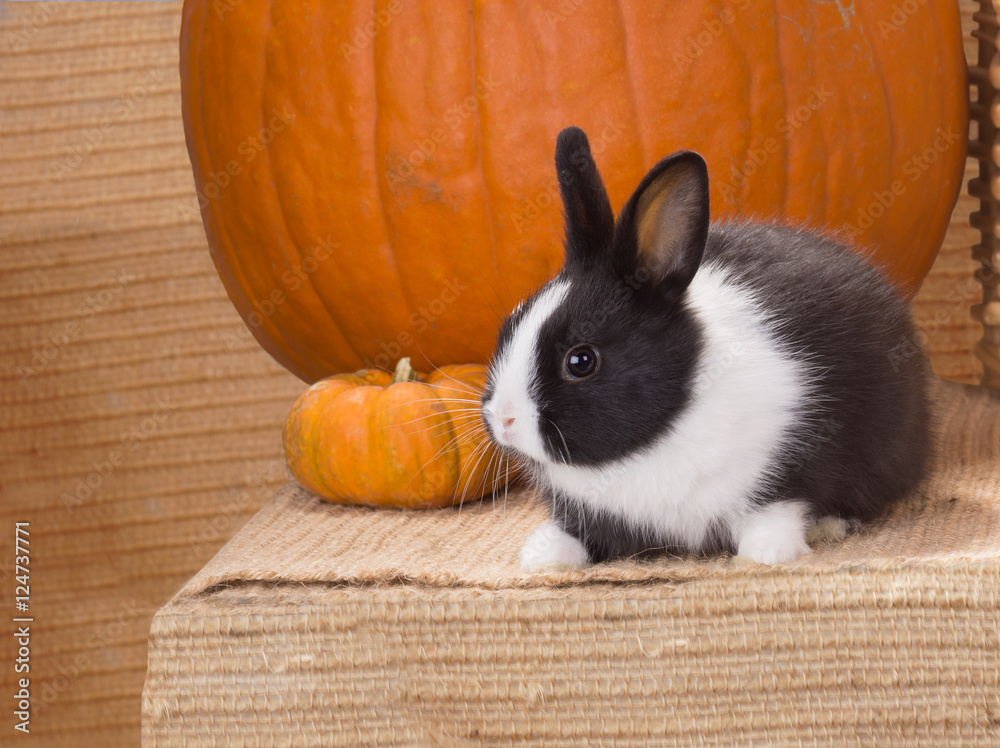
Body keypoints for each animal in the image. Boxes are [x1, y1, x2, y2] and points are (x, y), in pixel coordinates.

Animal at [480, 126, 932, 571]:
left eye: (581, 360)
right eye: (509, 326)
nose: (503, 419)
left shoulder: (791, 464)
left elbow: (776, 509)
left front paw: (767, 554)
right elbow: (580, 532)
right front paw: (542, 555)